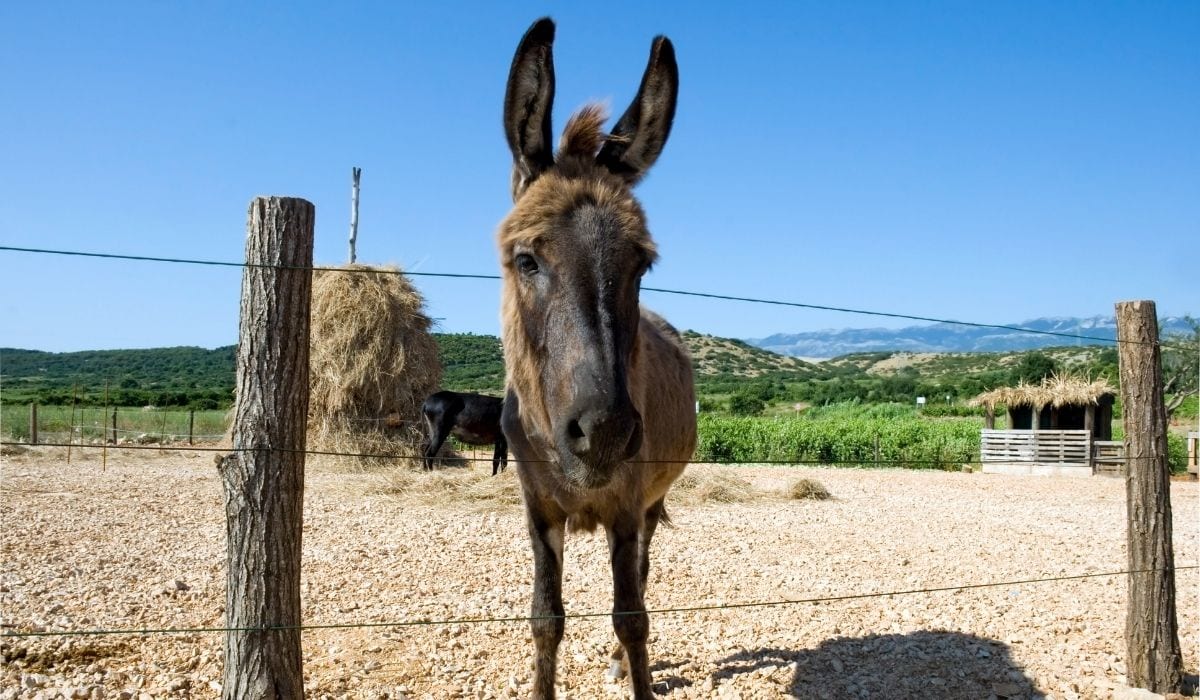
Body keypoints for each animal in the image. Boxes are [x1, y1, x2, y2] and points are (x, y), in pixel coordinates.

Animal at [497, 18, 696, 699]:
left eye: (641, 266)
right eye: (526, 260)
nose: (604, 431)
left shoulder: (627, 504)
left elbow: (632, 615)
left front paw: (633, 669)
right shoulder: (537, 508)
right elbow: (544, 618)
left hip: (655, 499)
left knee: (644, 572)